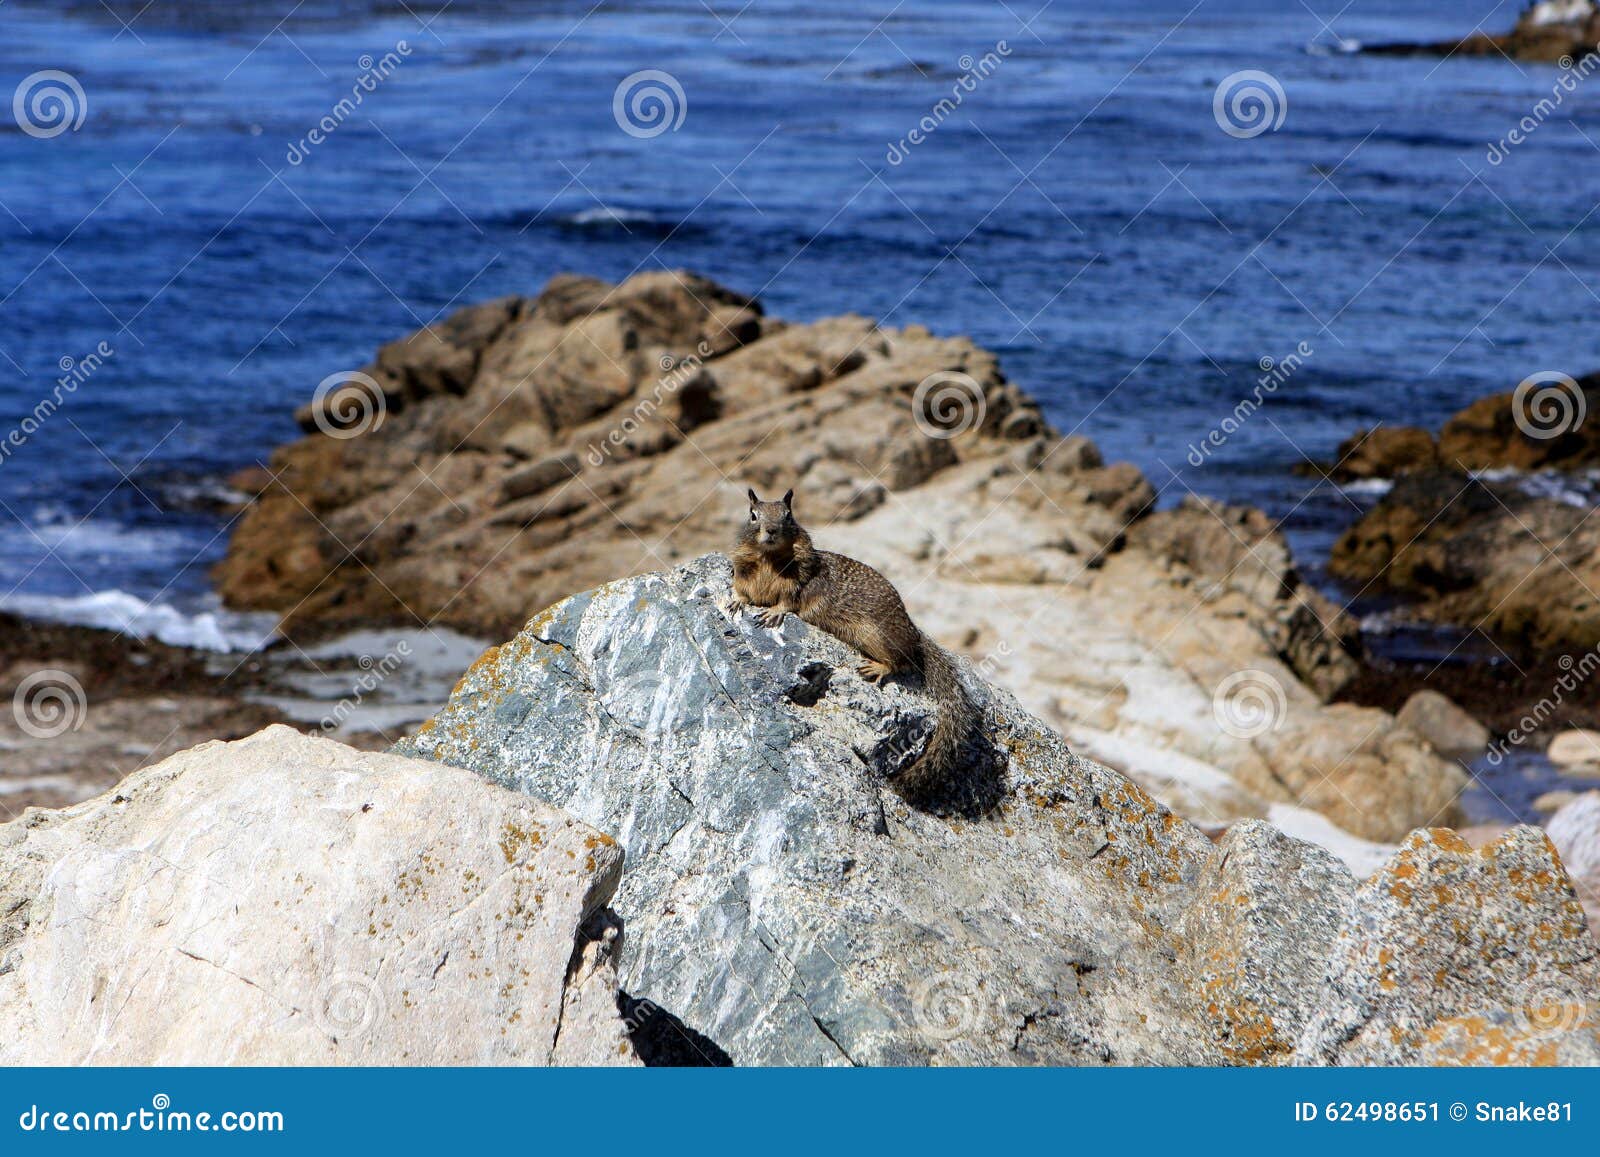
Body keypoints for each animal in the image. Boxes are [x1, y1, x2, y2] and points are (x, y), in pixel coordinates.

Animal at [727, 487, 978, 804]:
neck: (767, 559)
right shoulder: (743, 571)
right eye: (753, 515)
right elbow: (741, 589)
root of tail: (915, 634)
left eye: (788, 516)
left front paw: (773, 612)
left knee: (901, 661)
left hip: (877, 635)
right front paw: (735, 601)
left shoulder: (798, 586)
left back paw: (878, 668)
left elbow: (787, 602)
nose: (771, 530)